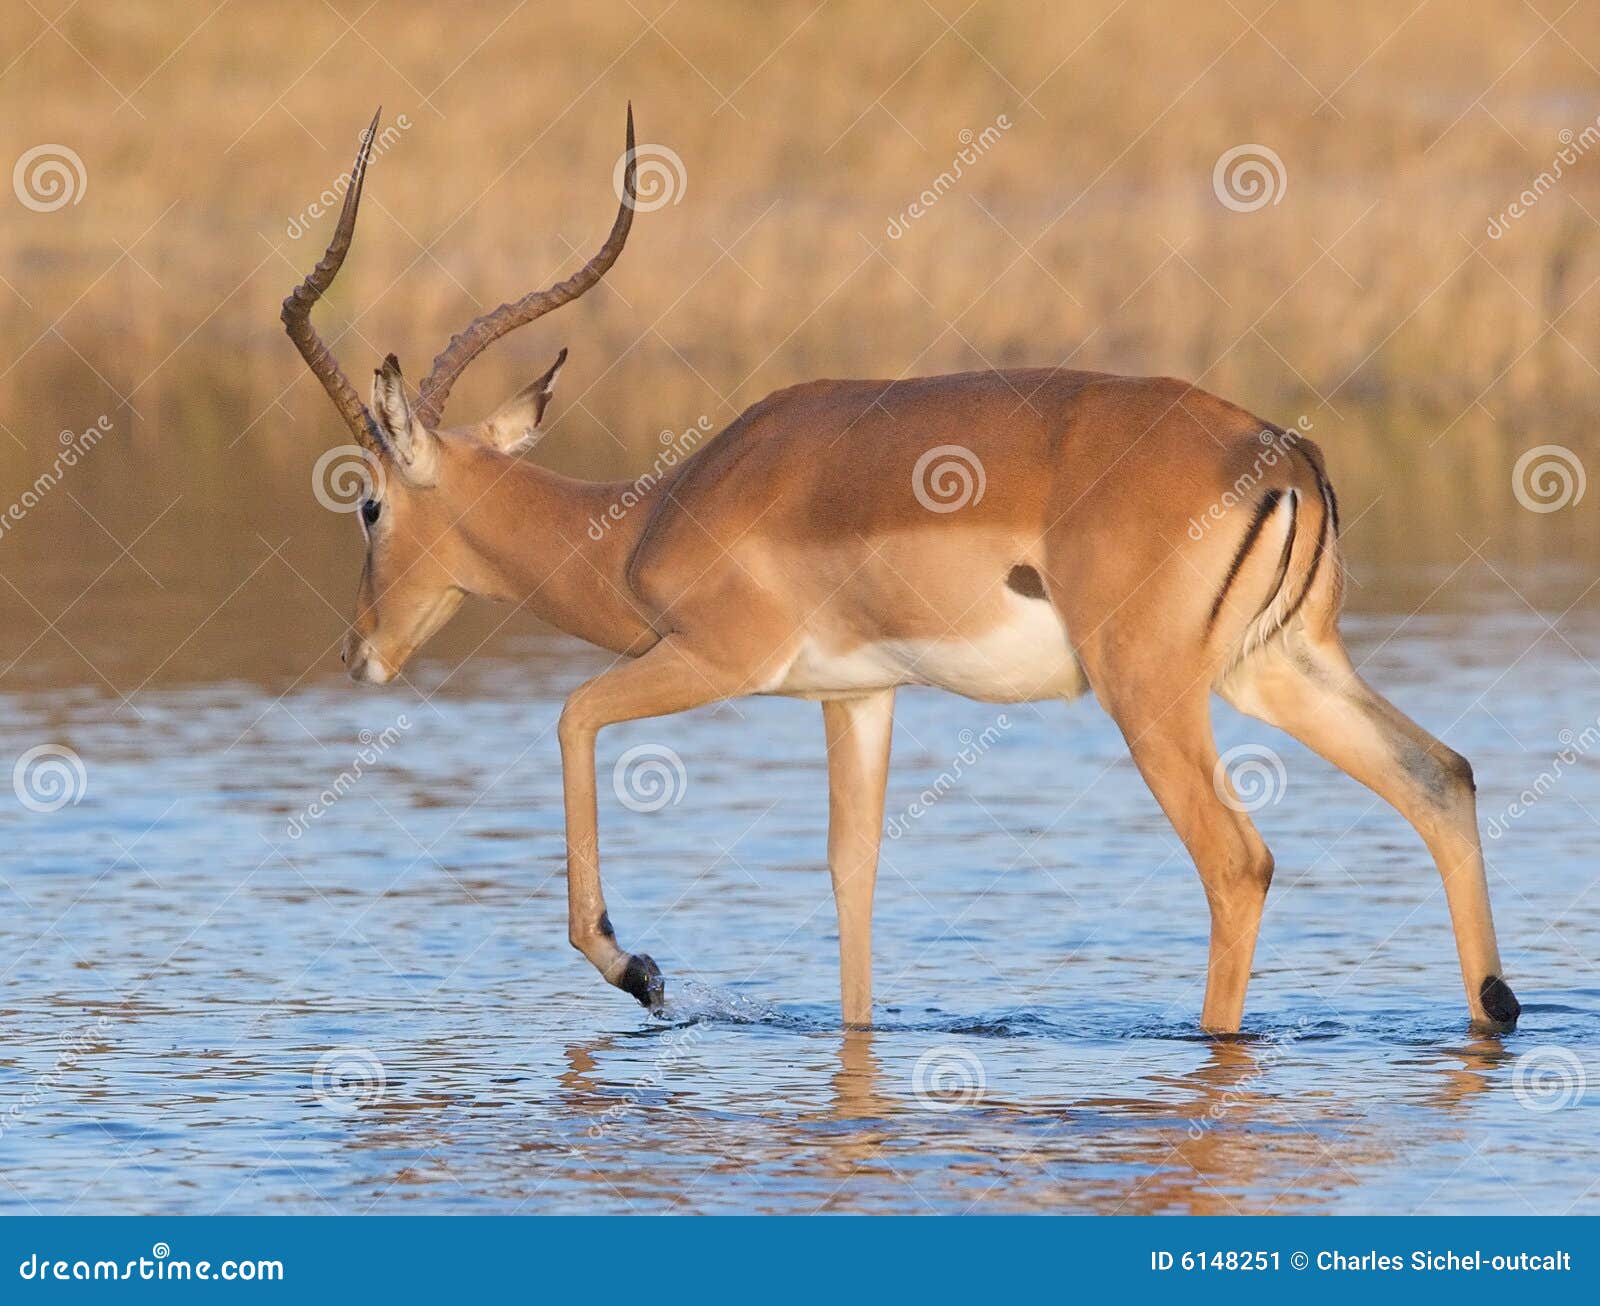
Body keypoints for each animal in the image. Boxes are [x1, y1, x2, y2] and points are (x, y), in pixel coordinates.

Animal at [283, 107, 1520, 1036]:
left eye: (367, 501)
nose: (356, 649)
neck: (646, 525)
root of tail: (1281, 450)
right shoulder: (858, 695)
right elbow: (852, 872)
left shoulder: (716, 660)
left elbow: (572, 715)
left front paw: (637, 969)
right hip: (1278, 669)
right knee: (1440, 776)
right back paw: (1492, 1010)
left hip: (1151, 693)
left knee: (1238, 861)